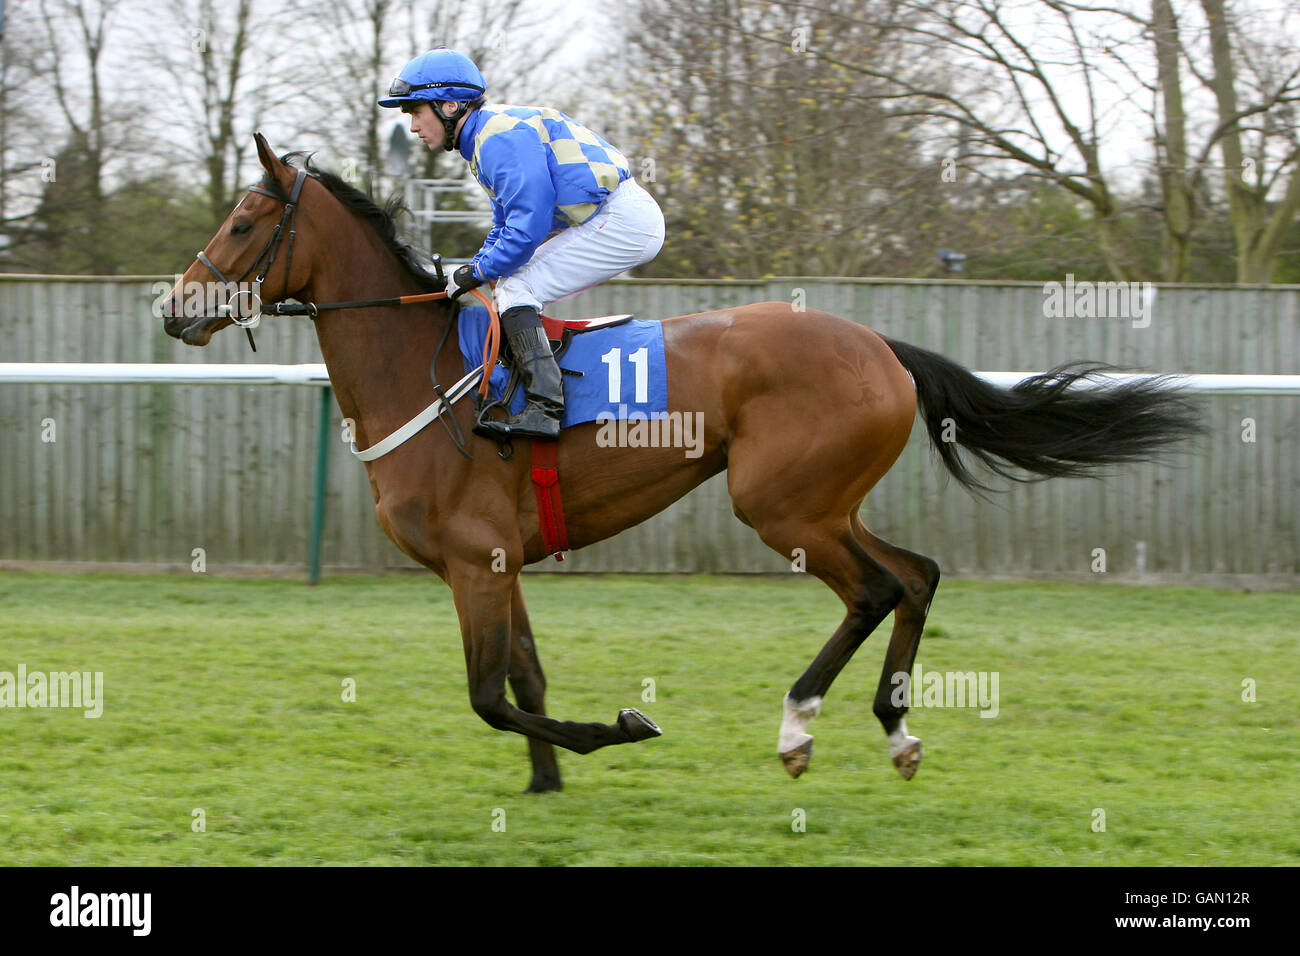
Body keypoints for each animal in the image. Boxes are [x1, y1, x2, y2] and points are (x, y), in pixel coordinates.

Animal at [161, 134, 1200, 792]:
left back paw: (797, 726)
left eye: (245, 222)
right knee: (916, 577)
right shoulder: (499, 561)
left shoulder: (472, 561)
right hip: (827, 503)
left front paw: (616, 730)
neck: (425, 371)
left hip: (780, 507)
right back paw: (897, 732)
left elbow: (490, 697)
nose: (175, 308)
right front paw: (545, 784)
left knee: (873, 591)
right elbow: (526, 681)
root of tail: (881, 346)